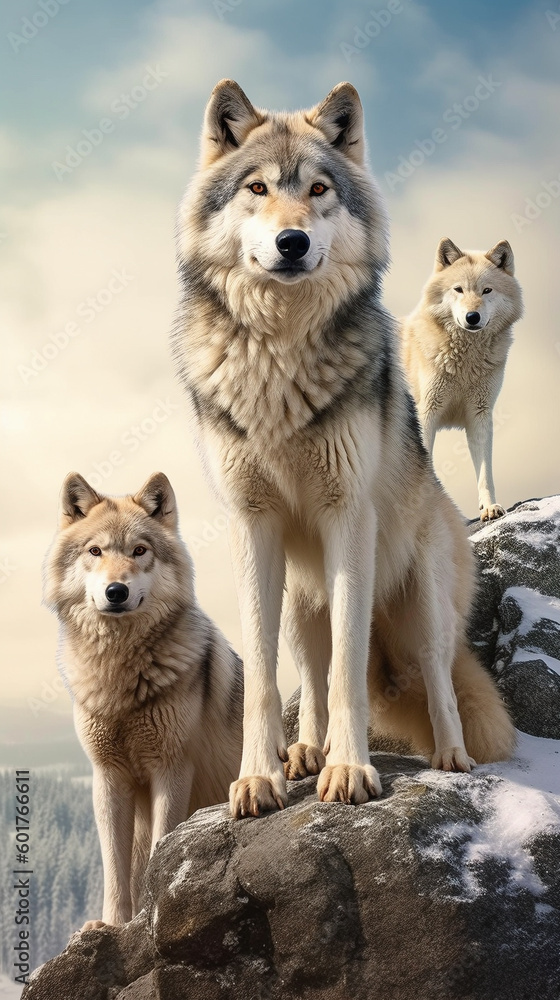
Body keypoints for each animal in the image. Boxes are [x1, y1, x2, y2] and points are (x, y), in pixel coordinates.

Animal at [44, 471, 243, 926]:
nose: (116, 591)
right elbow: (116, 869)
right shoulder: (108, 778)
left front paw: (152, 915)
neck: (120, 678)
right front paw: (113, 926)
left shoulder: (171, 769)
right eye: (95, 551)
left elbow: (160, 849)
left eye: (139, 550)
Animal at [400, 238, 523, 521]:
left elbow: (485, 472)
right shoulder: (427, 413)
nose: (472, 317)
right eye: (458, 289)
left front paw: (490, 507)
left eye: (486, 290)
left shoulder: (480, 416)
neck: (464, 364)